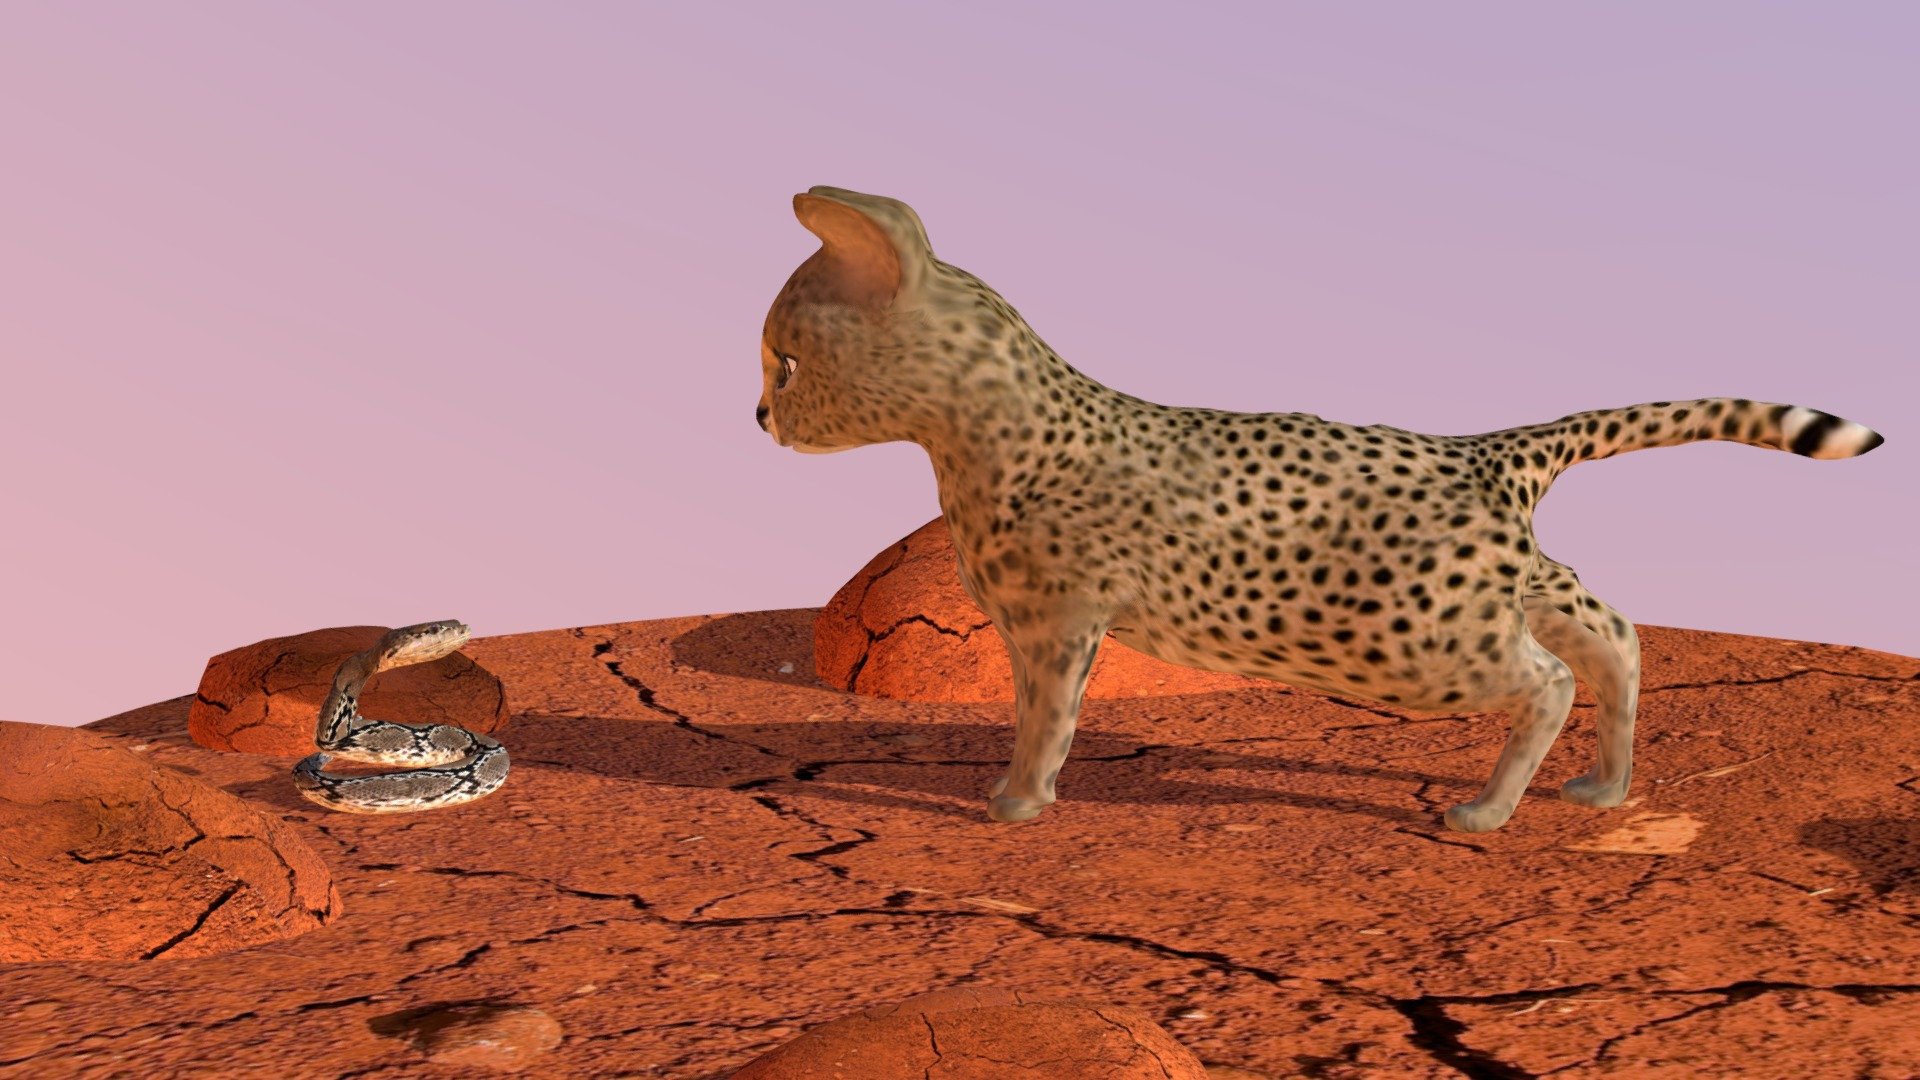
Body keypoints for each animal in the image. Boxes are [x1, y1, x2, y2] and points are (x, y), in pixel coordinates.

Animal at [757, 185, 1884, 833]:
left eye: (785, 357)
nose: (759, 414)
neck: (997, 422)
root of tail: (1488, 450)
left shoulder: (1060, 625)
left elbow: (1046, 720)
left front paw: (1018, 802)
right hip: (1501, 592)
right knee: (1617, 634)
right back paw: (1605, 785)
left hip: (1411, 645)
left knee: (1552, 675)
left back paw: (1487, 809)